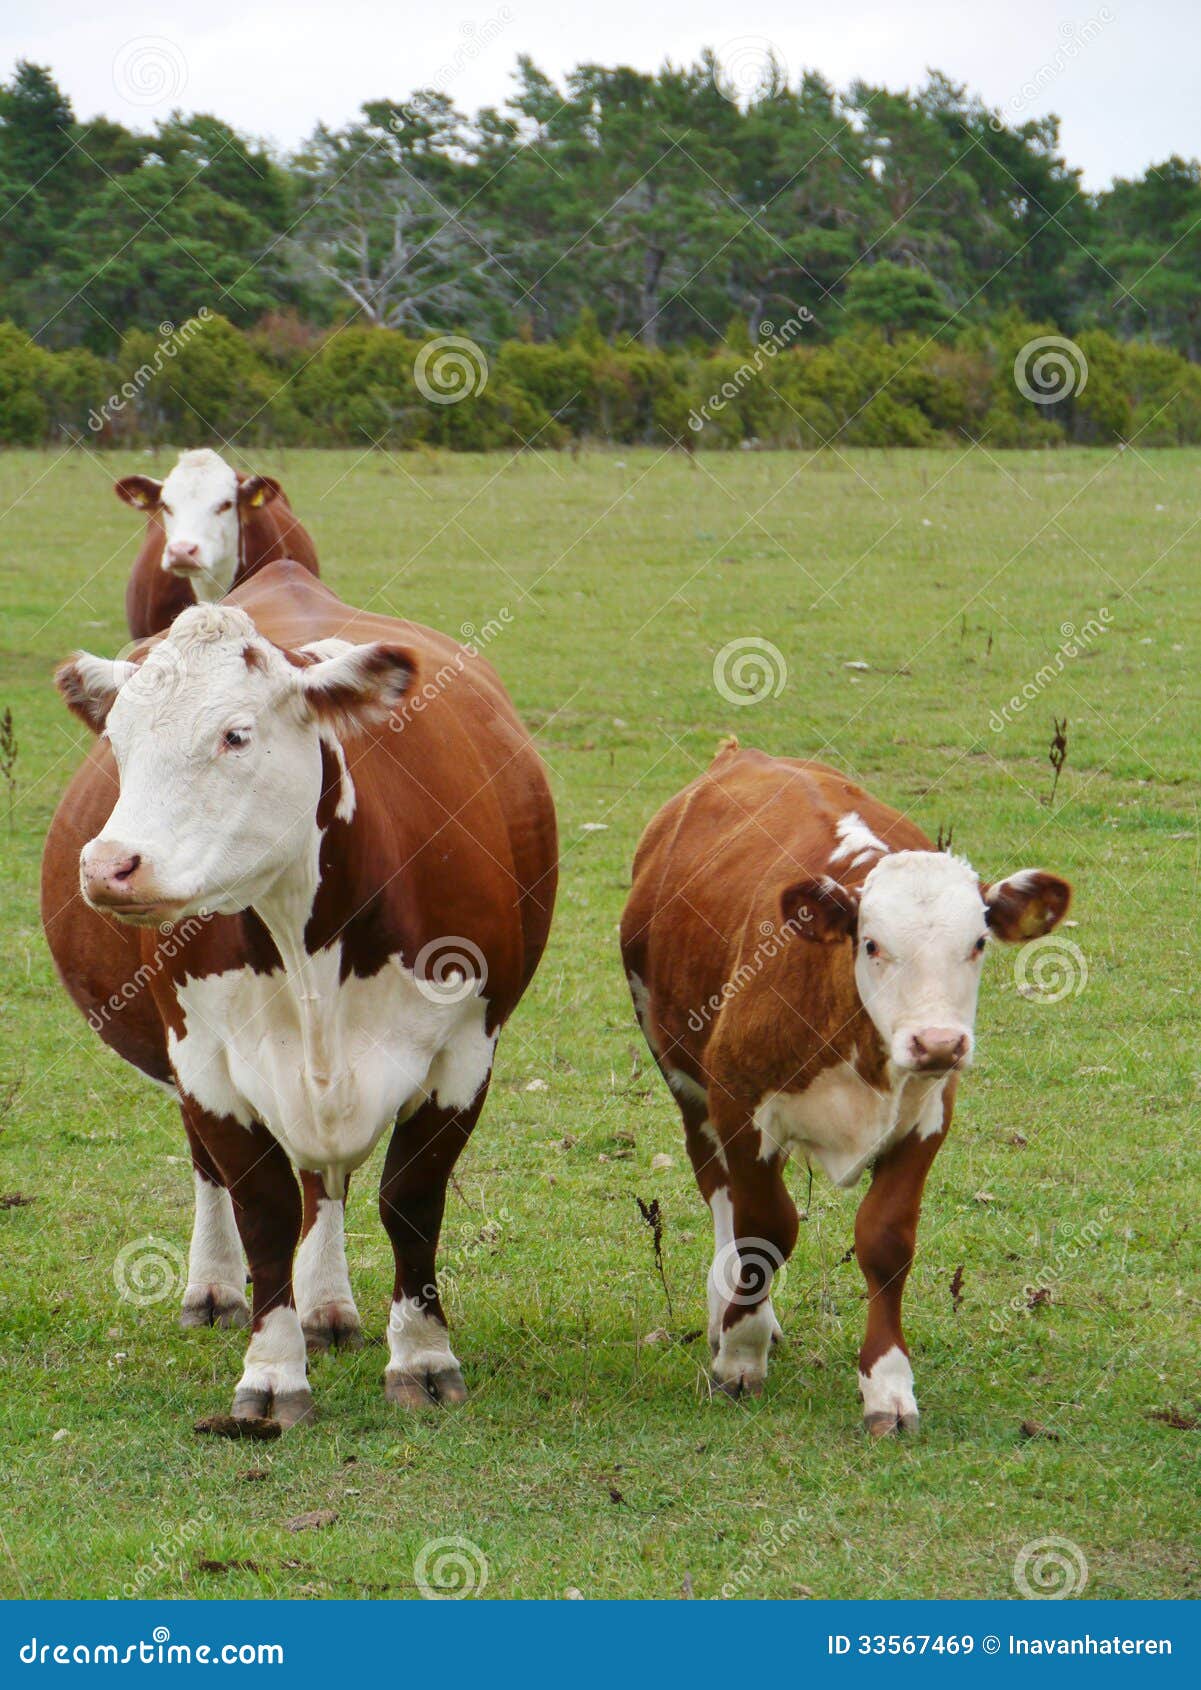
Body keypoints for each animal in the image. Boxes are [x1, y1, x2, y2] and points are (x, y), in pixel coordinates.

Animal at [41, 560, 557, 1425]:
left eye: (235, 734)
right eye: (119, 741)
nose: (110, 866)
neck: (303, 927)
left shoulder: (465, 1048)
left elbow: (409, 1199)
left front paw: (422, 1357)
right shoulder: (205, 1062)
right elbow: (264, 1210)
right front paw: (273, 1372)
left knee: (327, 1182)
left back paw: (328, 1305)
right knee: (218, 1174)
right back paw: (216, 1287)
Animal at [619, 738, 1071, 1436]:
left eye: (978, 942)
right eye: (873, 944)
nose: (938, 1042)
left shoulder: (927, 1117)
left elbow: (886, 1241)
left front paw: (888, 1387)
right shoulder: (738, 1103)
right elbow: (765, 1228)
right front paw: (741, 1355)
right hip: (683, 1076)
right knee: (718, 1191)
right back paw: (727, 1309)